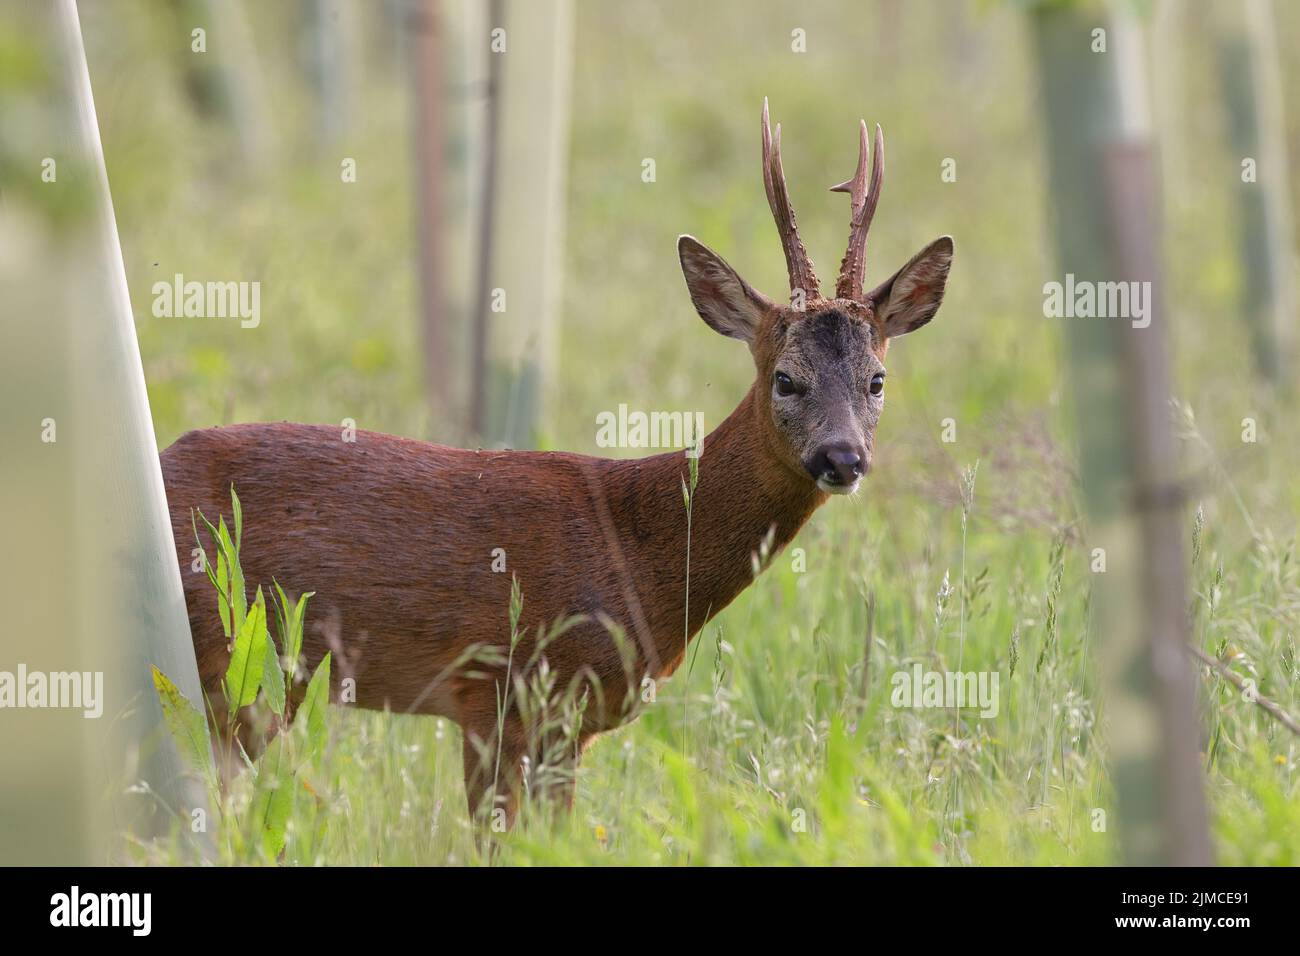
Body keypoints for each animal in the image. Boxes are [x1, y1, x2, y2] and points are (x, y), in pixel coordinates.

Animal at [160, 100, 953, 829]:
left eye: (877, 380)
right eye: (786, 379)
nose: (843, 456)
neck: (635, 547)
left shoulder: (564, 720)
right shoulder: (500, 692)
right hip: (235, 659)